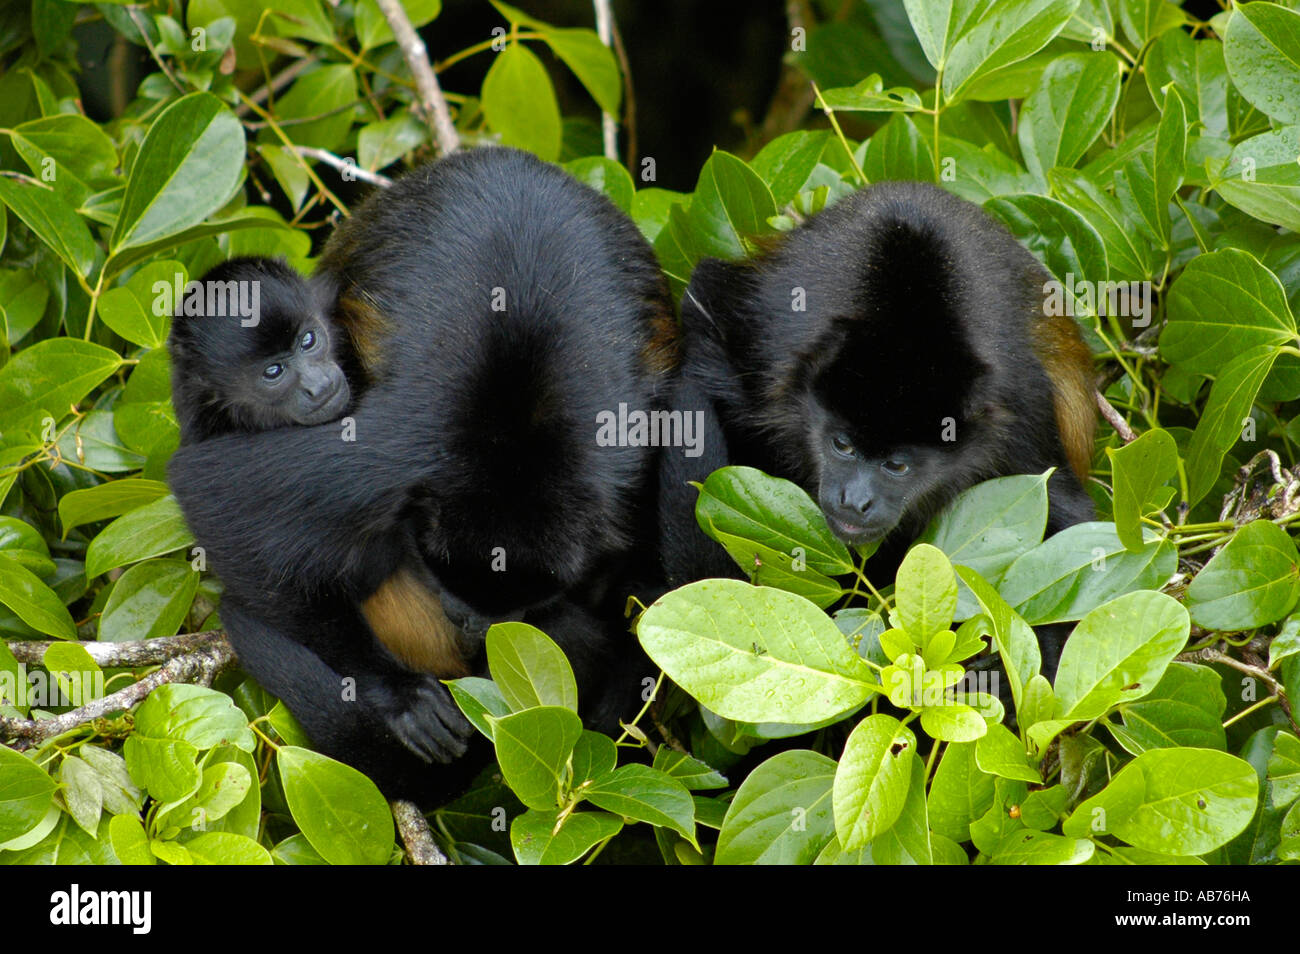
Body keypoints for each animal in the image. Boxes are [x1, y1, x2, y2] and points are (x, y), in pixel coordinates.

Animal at [167, 147, 676, 800]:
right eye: (455, 604)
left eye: (516, 616)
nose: (481, 643)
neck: (521, 438)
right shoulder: (404, 439)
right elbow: (210, 491)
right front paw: (397, 693)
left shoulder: (632, 443)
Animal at [660, 180, 1096, 670]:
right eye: (842, 445)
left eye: (897, 466)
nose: (855, 500)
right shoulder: (764, 342)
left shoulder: (1021, 406)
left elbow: (1066, 514)